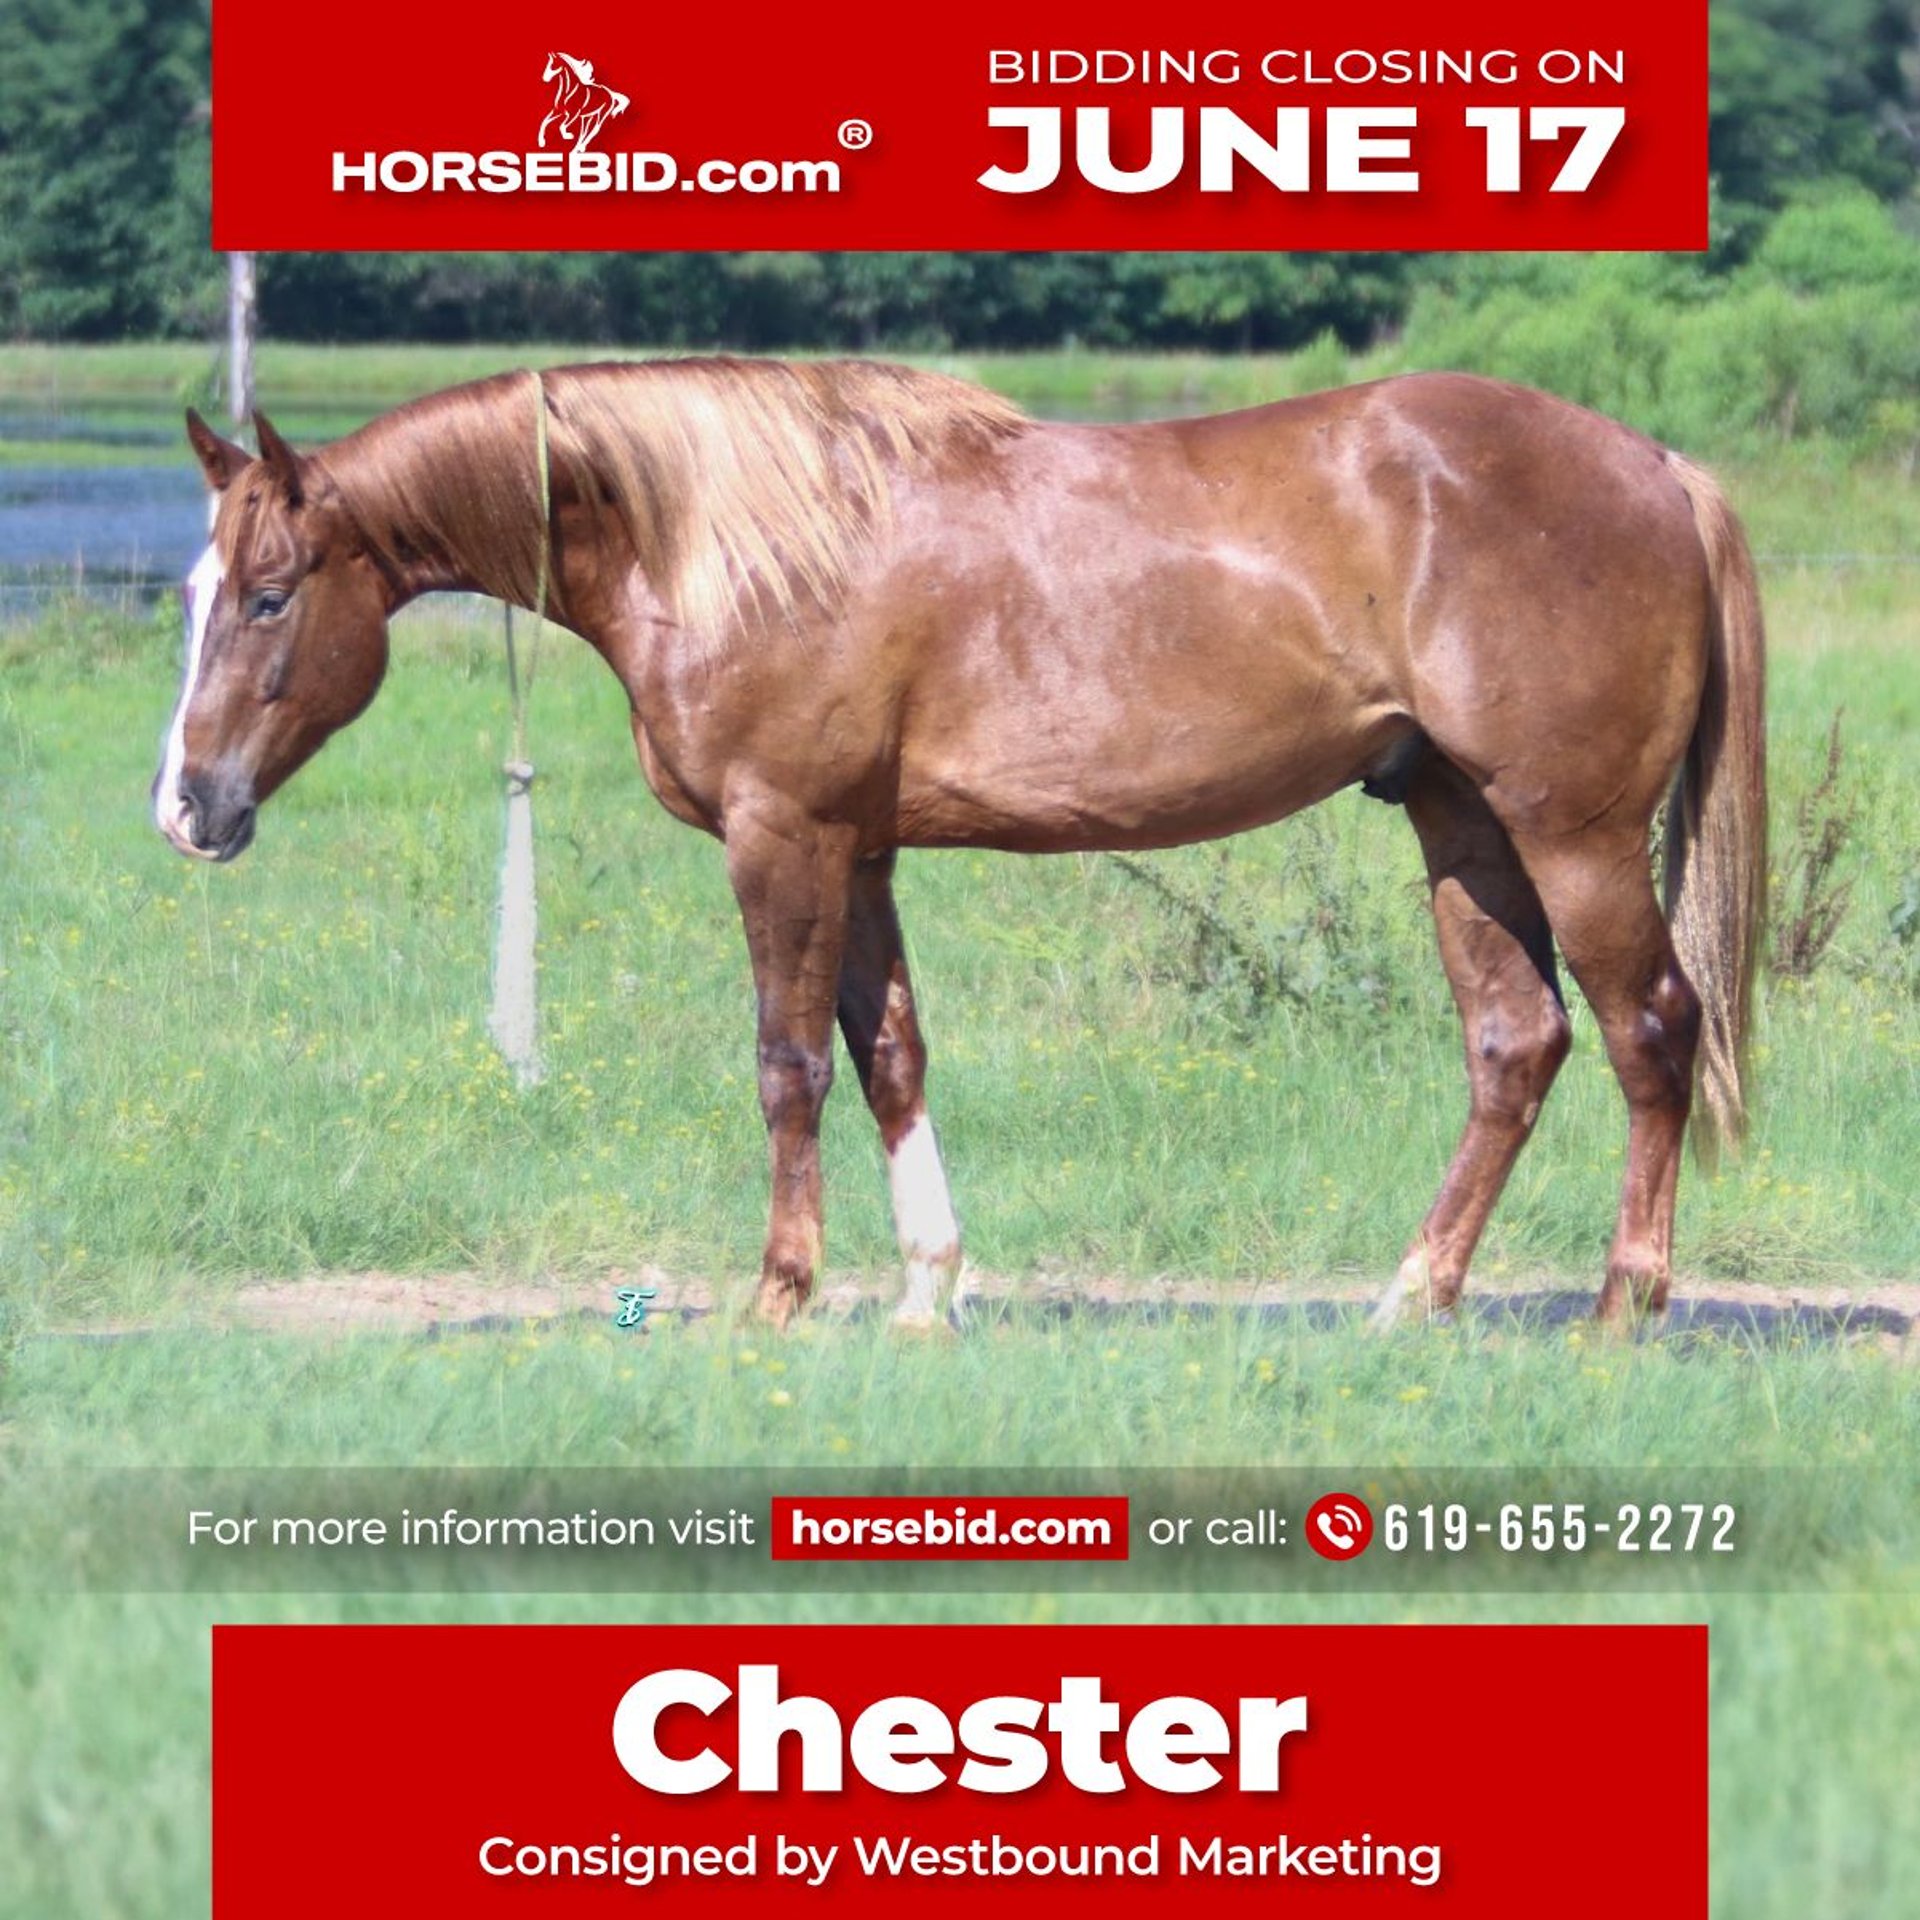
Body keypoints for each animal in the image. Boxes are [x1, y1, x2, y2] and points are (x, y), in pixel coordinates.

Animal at [158, 359, 1766, 1332]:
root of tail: (1662, 465)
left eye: (269, 593)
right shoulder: (859, 852)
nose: (186, 806)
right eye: (194, 588)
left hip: (1573, 834)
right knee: (1516, 1044)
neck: (729, 540)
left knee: (1649, 1030)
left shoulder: (785, 837)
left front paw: (781, 1296)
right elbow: (889, 1056)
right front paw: (930, 1291)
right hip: (1460, 823)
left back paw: (1621, 1309)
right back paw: (1410, 1300)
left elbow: (789, 1064)